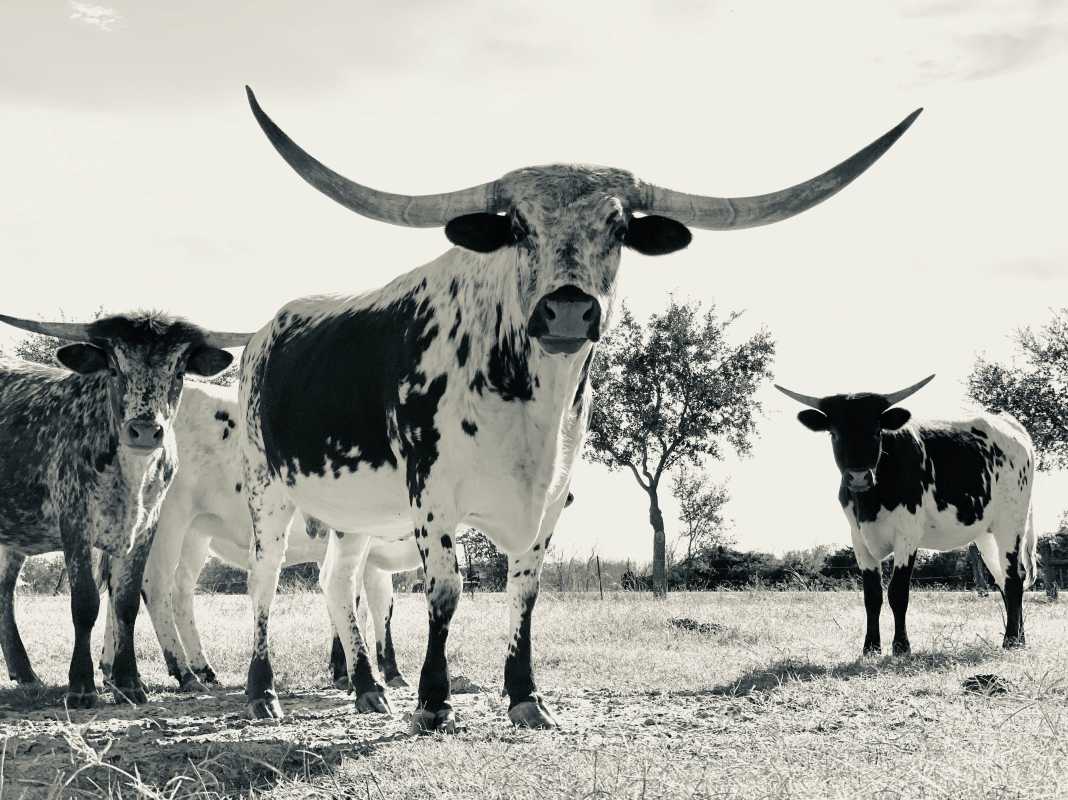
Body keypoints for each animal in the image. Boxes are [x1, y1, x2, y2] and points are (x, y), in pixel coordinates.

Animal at [0, 312, 248, 708]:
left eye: (179, 371)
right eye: (115, 368)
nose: (145, 431)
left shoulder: (146, 527)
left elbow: (126, 602)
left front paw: (129, 682)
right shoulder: (75, 522)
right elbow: (85, 603)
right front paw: (81, 685)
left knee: (4, 587)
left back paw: (24, 672)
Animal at [237, 86, 921, 731]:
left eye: (619, 229)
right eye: (517, 226)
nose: (567, 309)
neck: (528, 399)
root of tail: (264, 331)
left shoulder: (552, 496)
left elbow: (526, 592)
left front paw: (525, 696)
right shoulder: (432, 495)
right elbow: (446, 592)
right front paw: (434, 703)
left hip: (353, 512)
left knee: (337, 584)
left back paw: (367, 689)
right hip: (267, 491)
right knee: (264, 580)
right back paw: (263, 691)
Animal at [775, 375, 1037, 655]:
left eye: (876, 431)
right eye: (834, 433)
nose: (858, 477)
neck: (870, 500)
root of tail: (1012, 426)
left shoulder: (907, 535)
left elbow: (897, 592)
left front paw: (901, 646)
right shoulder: (858, 539)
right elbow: (872, 595)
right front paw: (871, 647)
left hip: (1010, 524)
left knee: (1013, 578)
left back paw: (1011, 640)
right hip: (985, 533)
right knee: (1002, 579)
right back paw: (1020, 638)